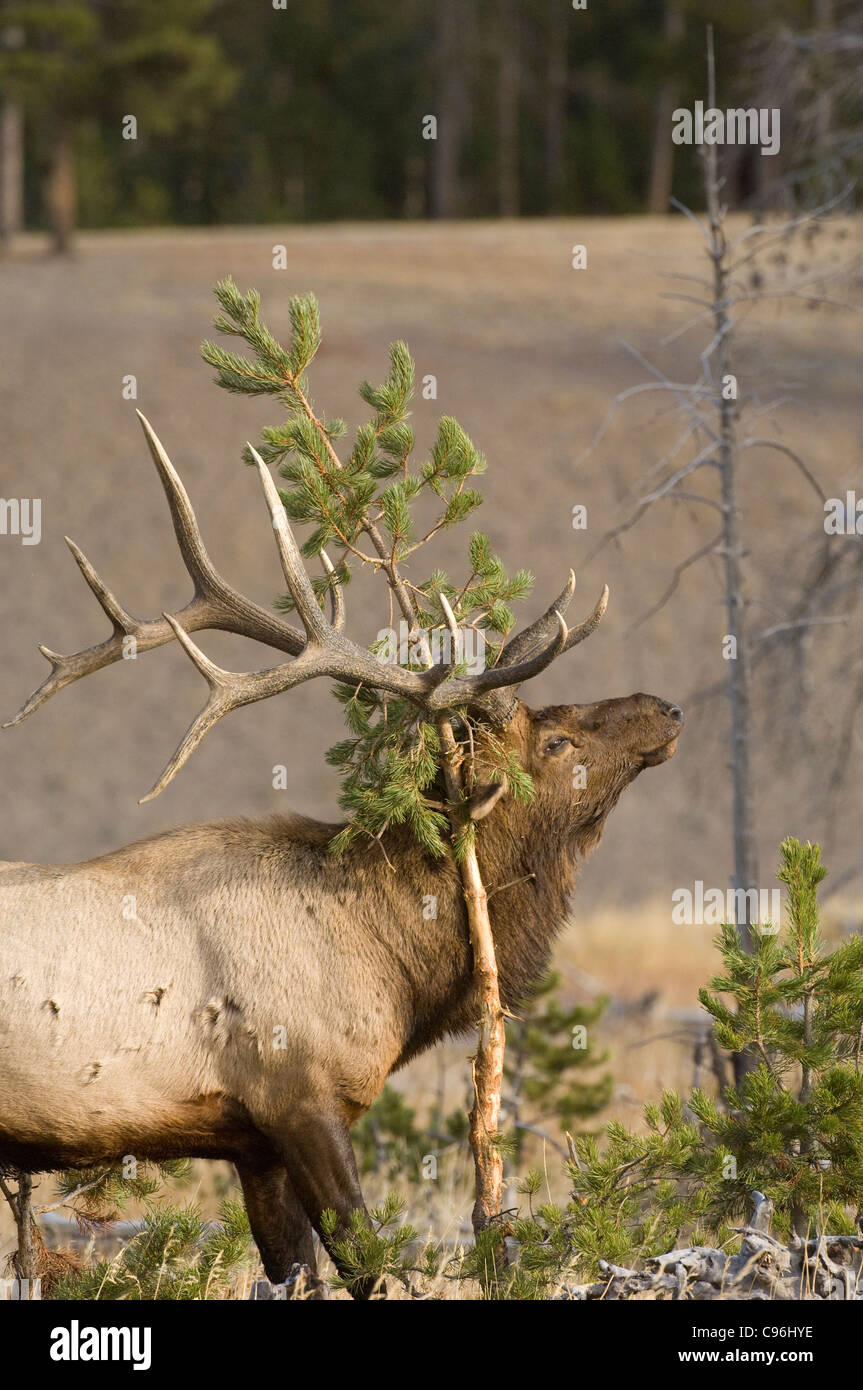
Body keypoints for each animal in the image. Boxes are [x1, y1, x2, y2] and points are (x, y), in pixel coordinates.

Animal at [0, 411, 683, 1298]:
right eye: (558, 739)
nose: (665, 708)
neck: (394, 960)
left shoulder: (251, 1144)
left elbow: (297, 1271)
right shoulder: (299, 1099)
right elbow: (367, 1264)